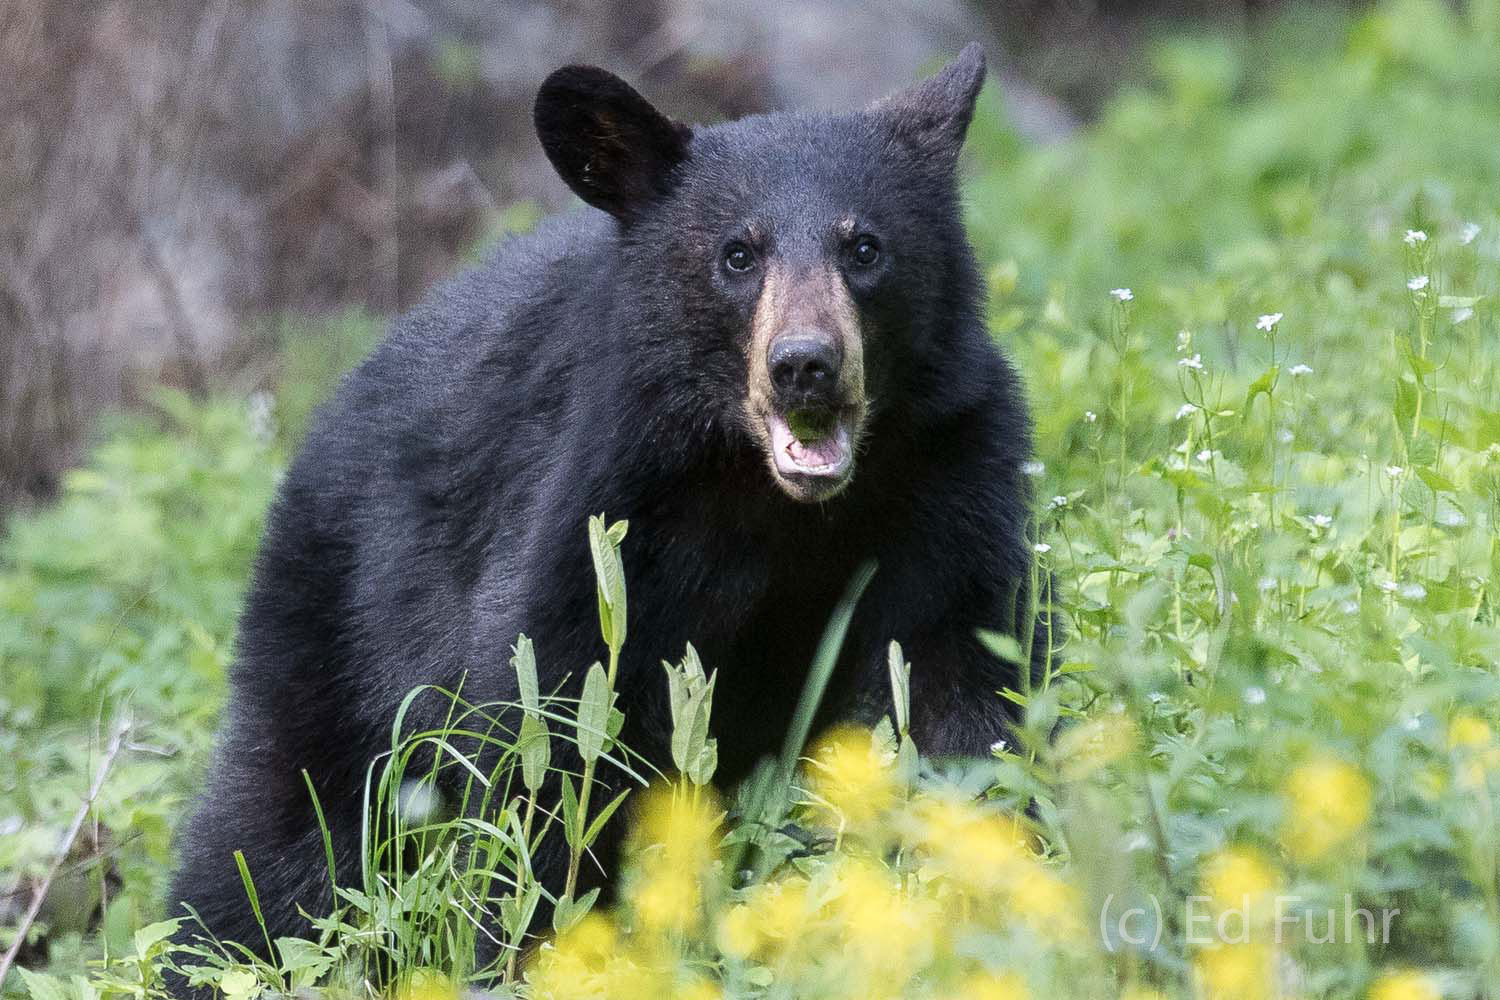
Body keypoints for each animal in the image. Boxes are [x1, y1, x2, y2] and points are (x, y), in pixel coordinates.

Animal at [167, 41, 1045, 982]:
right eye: (738, 255)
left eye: (866, 247)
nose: (805, 364)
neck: (778, 508)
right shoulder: (604, 514)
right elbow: (547, 740)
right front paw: (525, 945)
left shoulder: (948, 487)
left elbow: (962, 679)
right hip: (335, 628)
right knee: (281, 831)